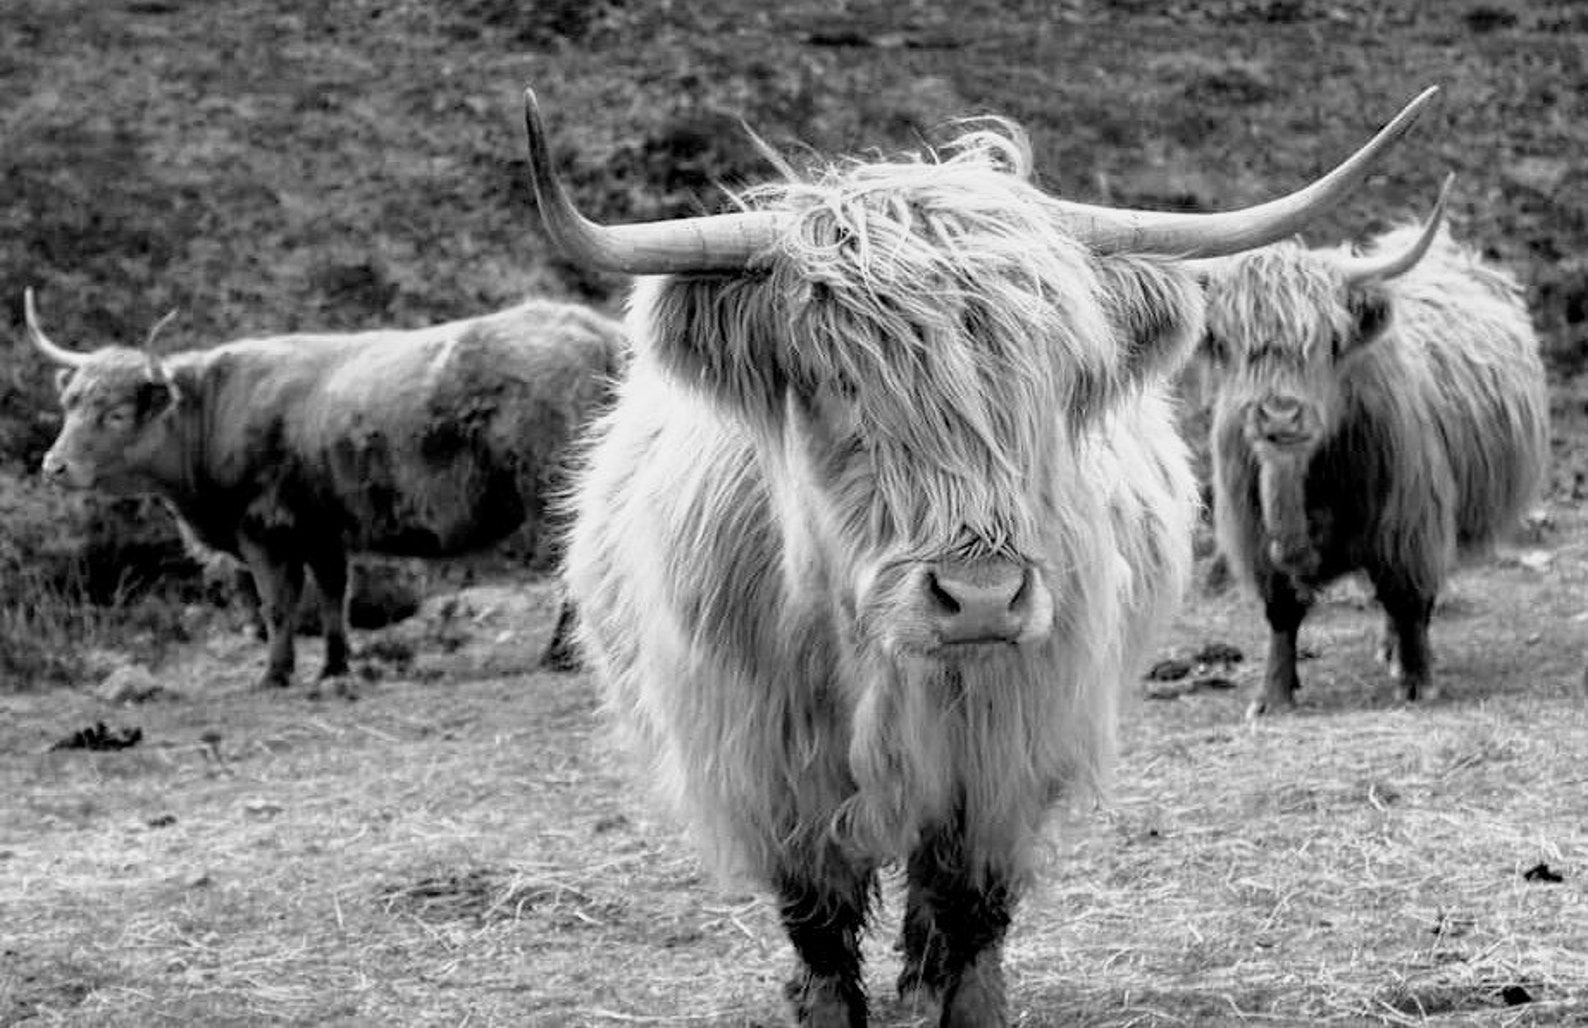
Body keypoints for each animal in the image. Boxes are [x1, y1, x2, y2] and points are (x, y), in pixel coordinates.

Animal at [26, 293, 625, 687]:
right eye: (71, 402)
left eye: (116, 412)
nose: (54, 466)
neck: (212, 413)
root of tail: (591, 328)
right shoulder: (321, 530)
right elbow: (334, 594)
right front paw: (336, 664)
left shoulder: (264, 533)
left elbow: (278, 604)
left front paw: (275, 673)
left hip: (551, 493)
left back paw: (558, 655)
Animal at [520, 83, 1435, 1026]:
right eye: (841, 381)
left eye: (1054, 380)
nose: (984, 599)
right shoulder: (770, 776)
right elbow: (821, 934)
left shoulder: (1005, 762)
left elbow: (969, 916)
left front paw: (959, 992)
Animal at [1198, 177, 1549, 715]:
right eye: (1223, 342)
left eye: (1328, 342)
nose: (1280, 415)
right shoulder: (1252, 535)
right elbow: (1281, 612)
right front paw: (1272, 696)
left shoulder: (1410, 522)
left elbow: (1408, 599)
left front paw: (1419, 682)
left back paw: (1398, 658)